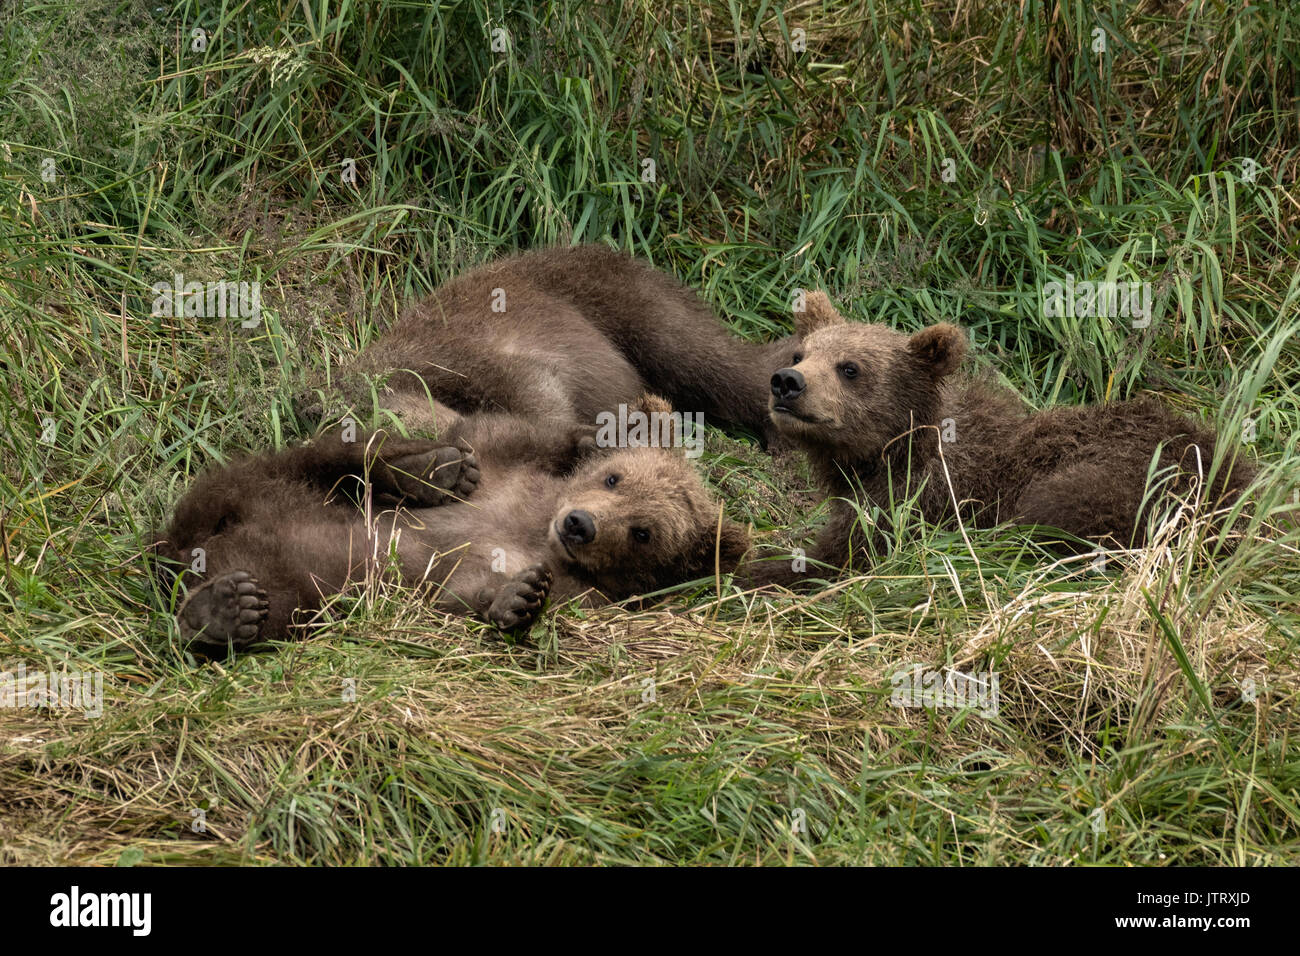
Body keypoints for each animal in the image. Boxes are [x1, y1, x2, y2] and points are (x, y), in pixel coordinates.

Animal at [152, 396, 751, 654]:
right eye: (614, 478)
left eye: (643, 533)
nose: (579, 524)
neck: (534, 524)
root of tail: (189, 547)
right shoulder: (507, 462)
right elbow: (497, 433)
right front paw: (591, 434)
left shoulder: (580, 591)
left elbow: (461, 594)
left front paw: (518, 599)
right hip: (269, 490)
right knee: (326, 458)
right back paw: (425, 470)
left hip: (300, 581)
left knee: (277, 602)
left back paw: (224, 610)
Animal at [747, 291, 1256, 584]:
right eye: (801, 353)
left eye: (850, 367)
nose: (786, 383)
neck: (889, 451)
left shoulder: (921, 498)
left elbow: (838, 556)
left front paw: (751, 567)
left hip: (1125, 481)